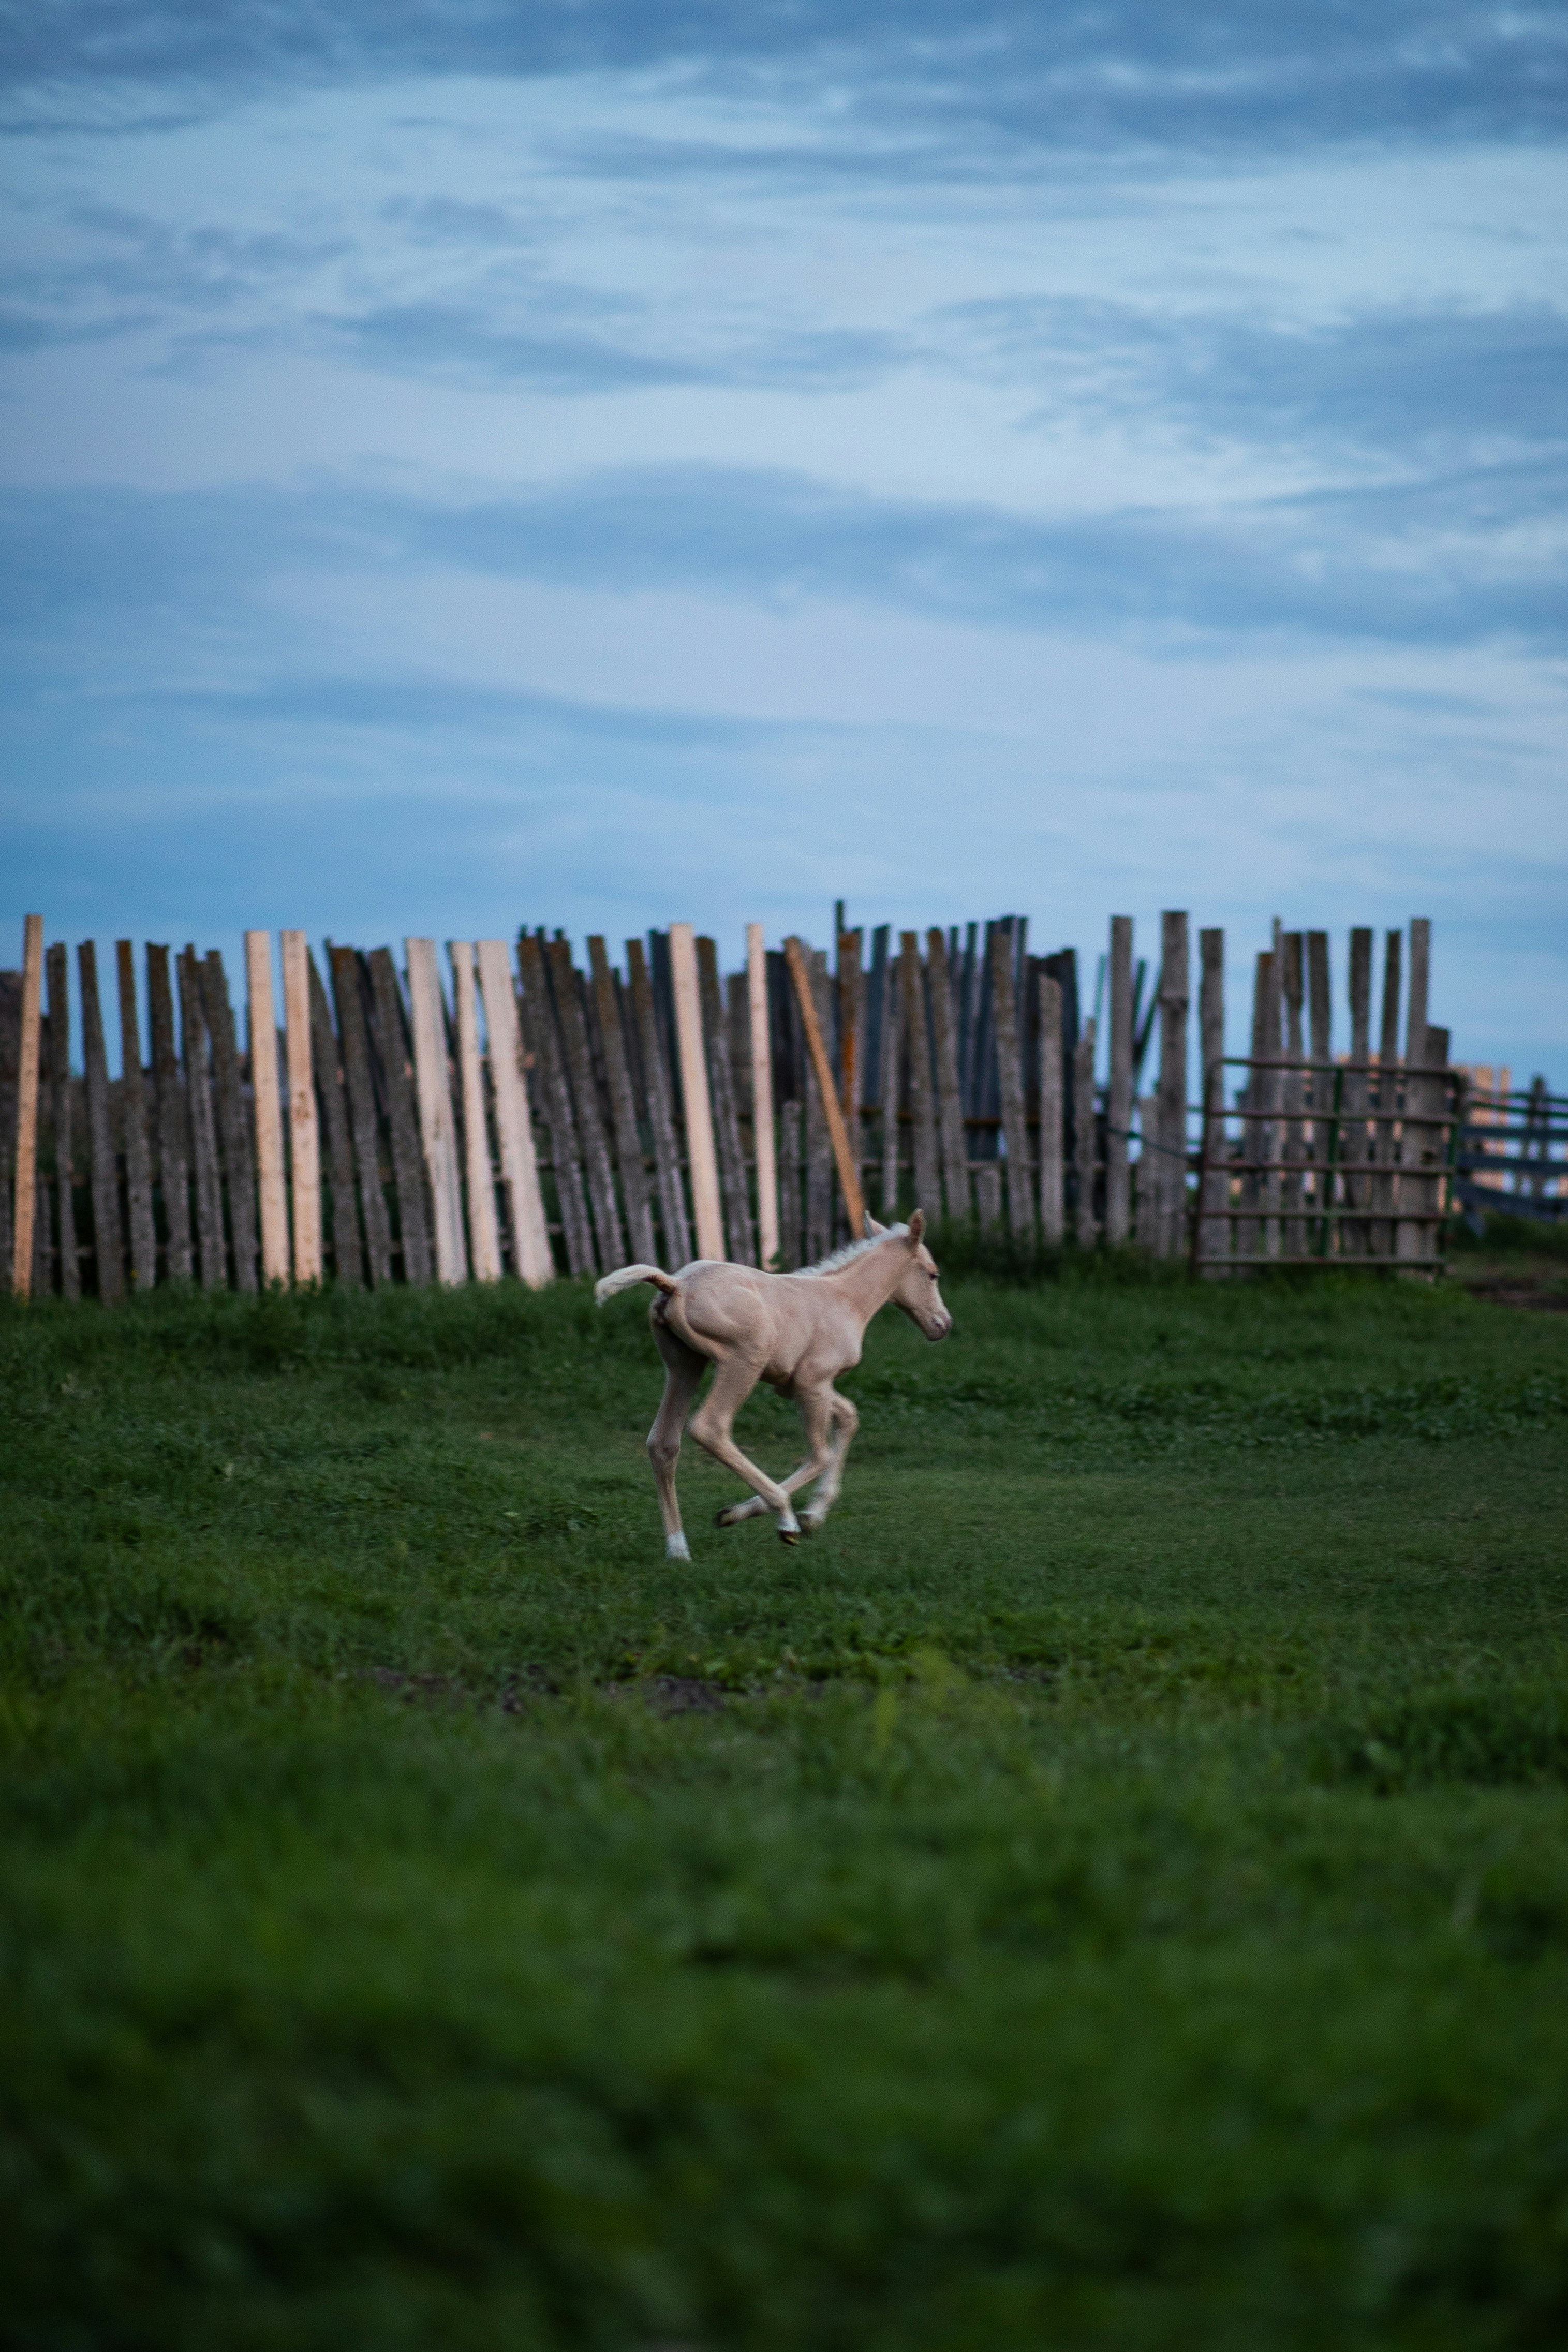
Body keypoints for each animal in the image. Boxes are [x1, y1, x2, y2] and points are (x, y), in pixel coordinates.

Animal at [595, 1211, 952, 1558]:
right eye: (933, 1274)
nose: (943, 1325)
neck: (845, 1299)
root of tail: (678, 1284)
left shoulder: (793, 1386)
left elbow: (849, 1417)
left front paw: (813, 1517)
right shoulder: (812, 1383)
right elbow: (821, 1455)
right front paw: (761, 1516)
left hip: (684, 1365)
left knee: (663, 1443)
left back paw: (678, 1549)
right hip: (742, 1361)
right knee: (710, 1427)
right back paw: (782, 1517)